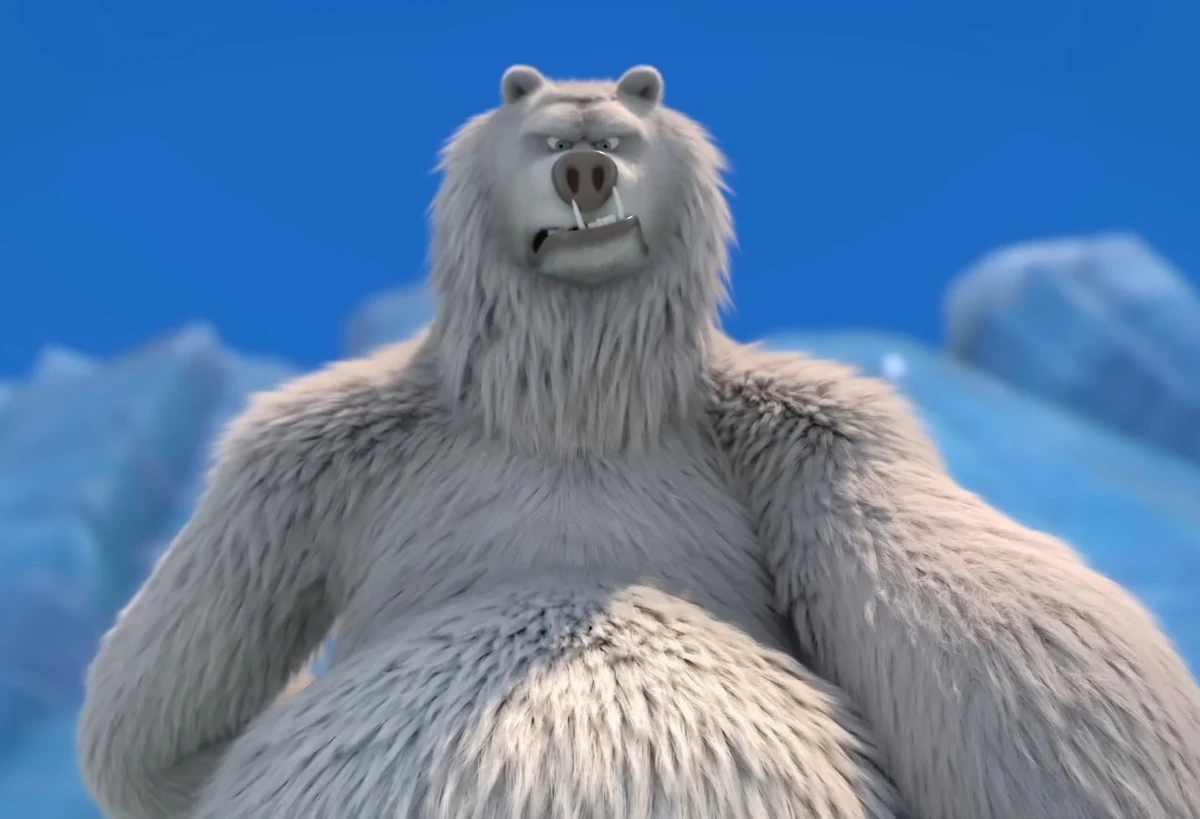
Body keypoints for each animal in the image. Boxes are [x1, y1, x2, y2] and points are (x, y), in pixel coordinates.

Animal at [77, 64, 1200, 819]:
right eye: (545, 141)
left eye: (620, 138)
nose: (584, 168)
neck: (574, 406)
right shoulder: (309, 453)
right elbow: (155, 705)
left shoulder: (812, 432)